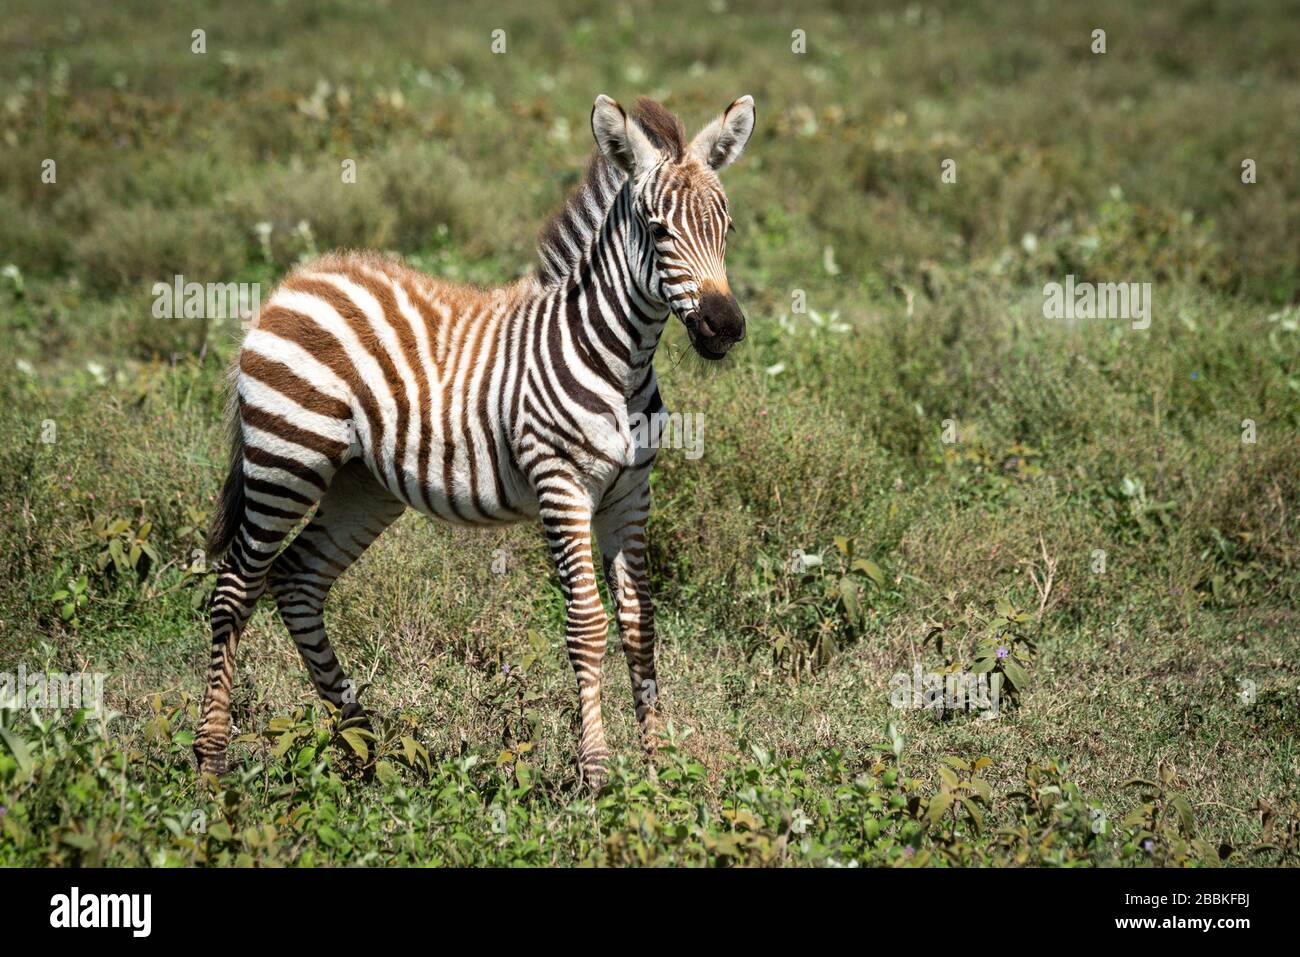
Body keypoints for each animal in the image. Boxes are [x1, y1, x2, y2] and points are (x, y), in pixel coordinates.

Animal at [194, 94, 756, 787]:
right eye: (657, 231)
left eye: (727, 229)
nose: (724, 327)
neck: (620, 362)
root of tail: (296, 280)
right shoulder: (561, 485)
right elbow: (587, 624)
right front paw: (596, 772)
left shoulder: (630, 496)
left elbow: (639, 622)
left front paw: (657, 769)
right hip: (285, 457)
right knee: (233, 589)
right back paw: (212, 760)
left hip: (361, 484)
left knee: (297, 580)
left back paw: (366, 744)